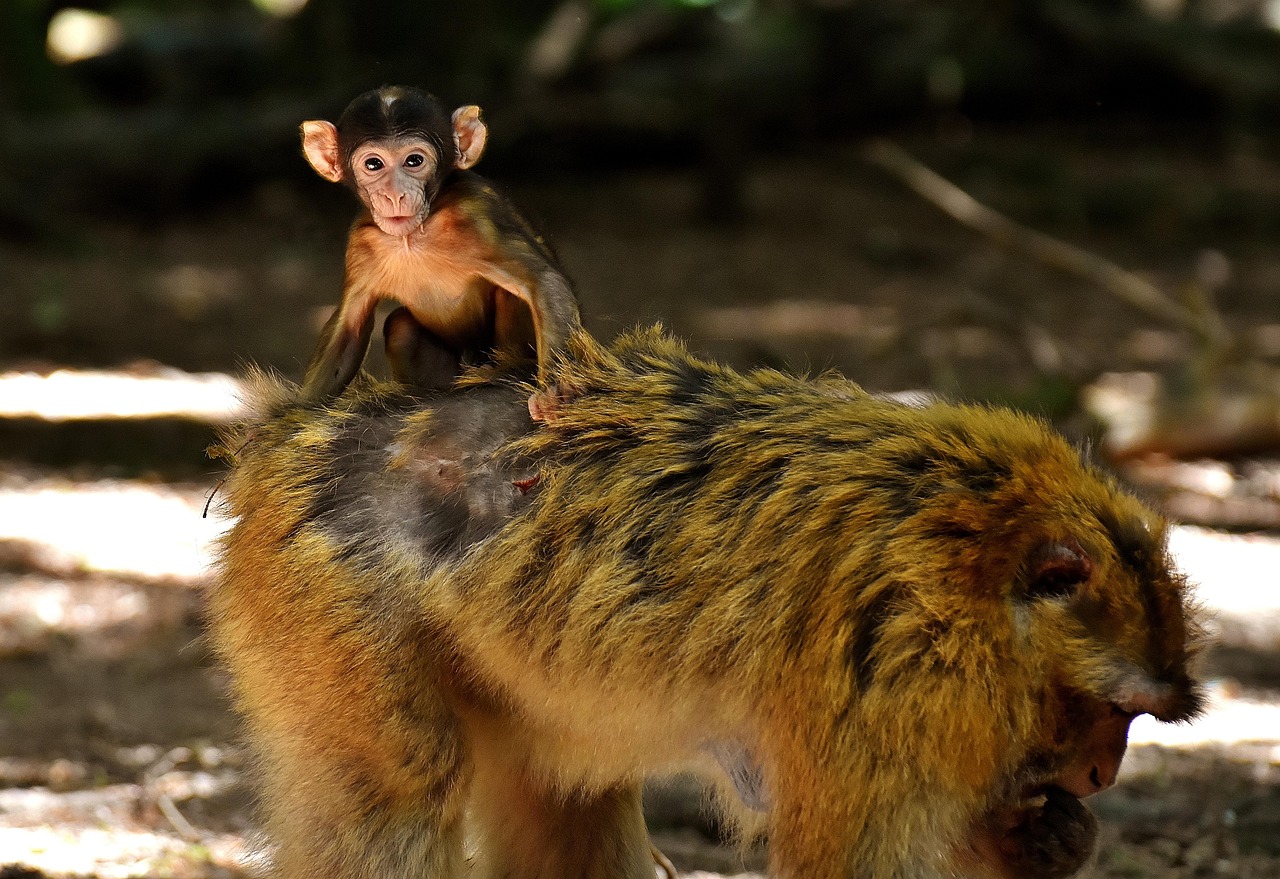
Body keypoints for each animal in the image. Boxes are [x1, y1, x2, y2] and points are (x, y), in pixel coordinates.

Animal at [209, 327, 1203, 879]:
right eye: (1114, 709)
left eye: (1136, 723)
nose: (1101, 772)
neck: (969, 570)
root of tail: (296, 429)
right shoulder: (898, 678)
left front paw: (1055, 840)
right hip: (327, 592)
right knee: (400, 789)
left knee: (560, 796)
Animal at [298, 85, 580, 401]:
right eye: (373, 164)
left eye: (414, 161)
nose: (394, 195)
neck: (413, 236)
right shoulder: (361, 241)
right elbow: (349, 328)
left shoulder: (476, 212)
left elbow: (543, 281)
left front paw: (555, 390)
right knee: (400, 328)